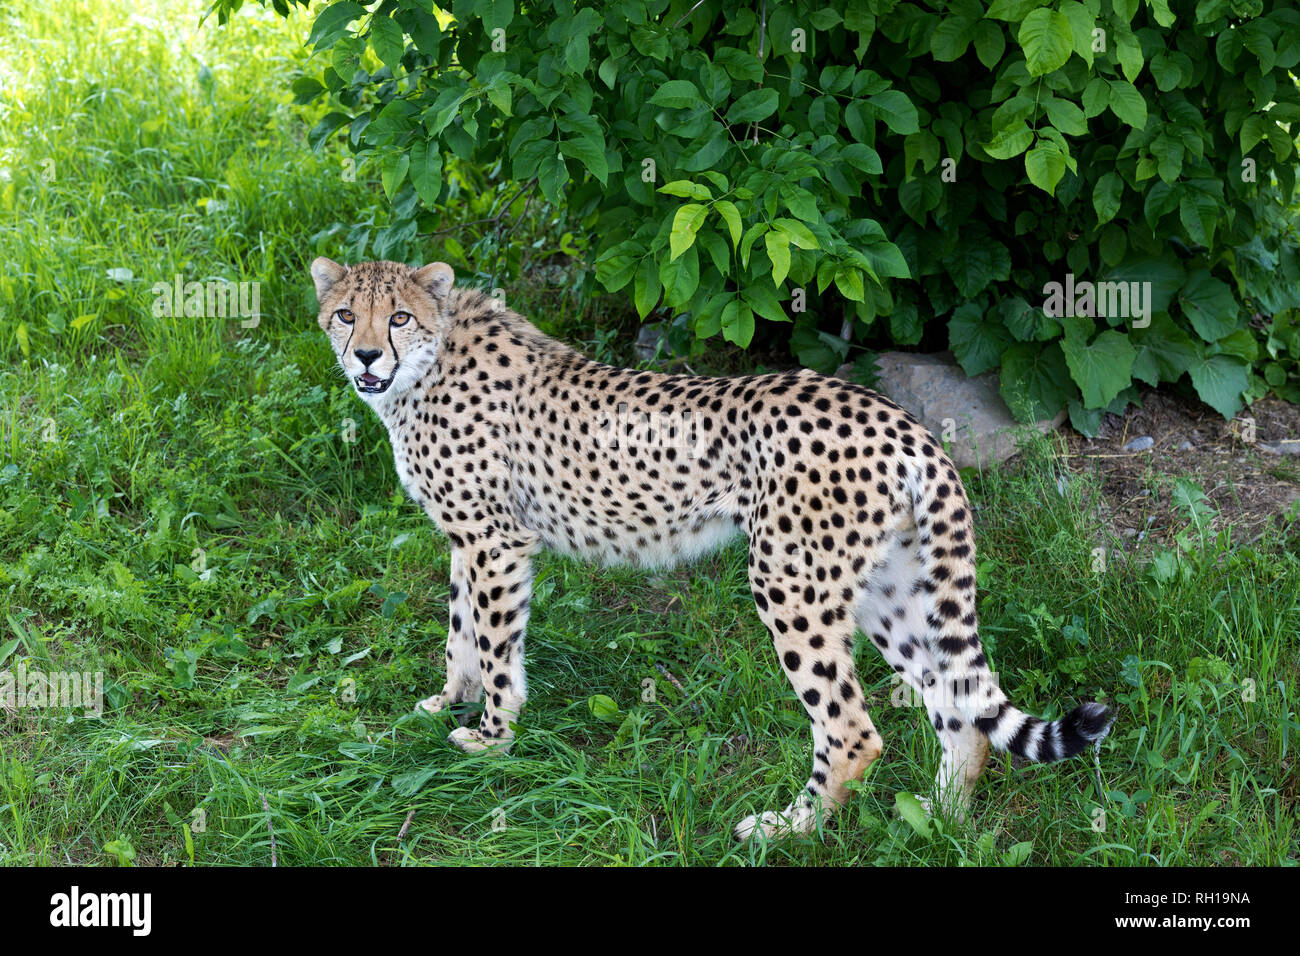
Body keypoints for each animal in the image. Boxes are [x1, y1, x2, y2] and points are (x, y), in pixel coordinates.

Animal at [309, 256, 1114, 840]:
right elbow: (460, 634)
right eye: (346, 314)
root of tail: (898, 419)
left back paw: (788, 829)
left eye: (399, 316)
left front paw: (494, 741)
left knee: (852, 730)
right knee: (960, 706)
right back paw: (937, 824)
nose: (368, 357)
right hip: (893, 586)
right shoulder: (466, 539)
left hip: (791, 582)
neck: (426, 366)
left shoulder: (496, 540)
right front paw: (446, 702)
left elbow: (497, 647)